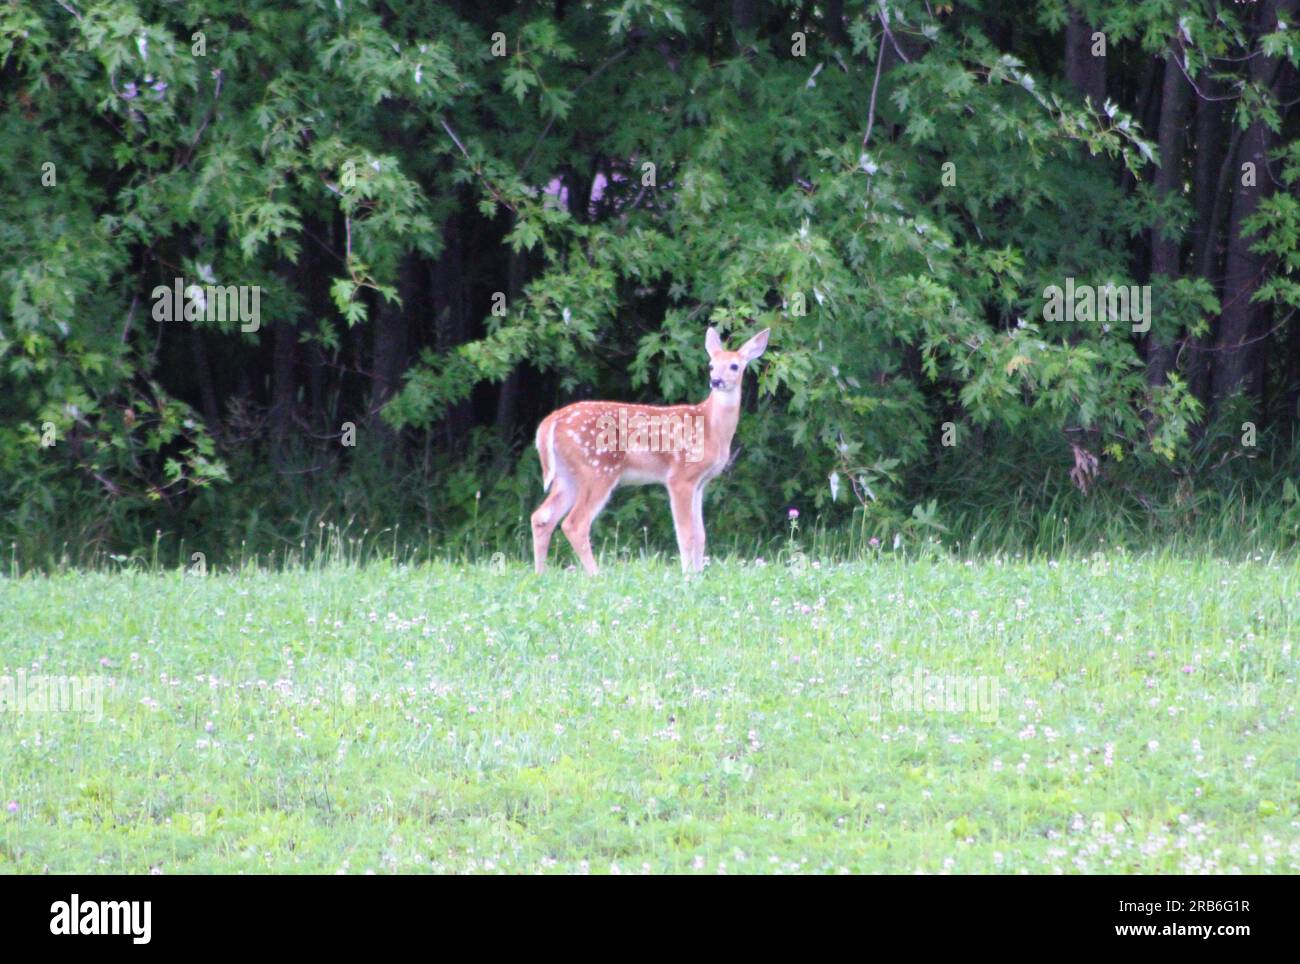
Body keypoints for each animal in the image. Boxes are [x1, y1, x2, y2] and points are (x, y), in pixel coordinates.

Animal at [531, 326, 770, 574]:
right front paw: (688, 574)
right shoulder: (680, 476)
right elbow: (686, 533)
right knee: (574, 523)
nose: (716, 381)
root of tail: (551, 421)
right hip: (598, 469)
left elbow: (701, 534)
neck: (713, 429)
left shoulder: (700, 483)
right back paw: (596, 575)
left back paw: (540, 573)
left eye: (734, 366)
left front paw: (698, 573)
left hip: (568, 474)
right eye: (711, 365)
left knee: (541, 517)